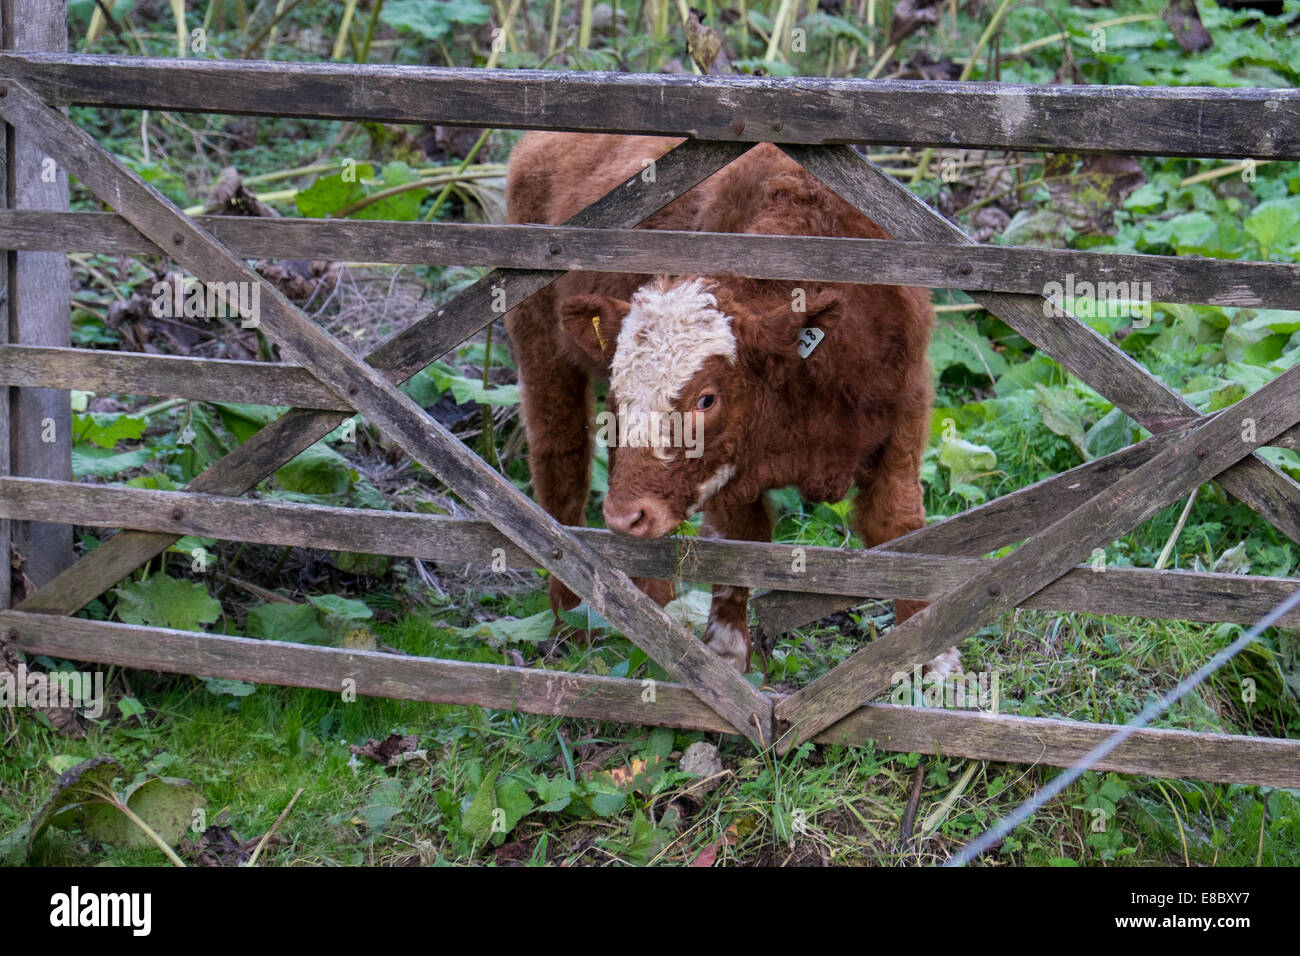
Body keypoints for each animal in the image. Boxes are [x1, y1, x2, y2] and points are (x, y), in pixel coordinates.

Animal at [504, 132, 959, 676]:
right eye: (618, 389)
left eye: (706, 398)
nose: (625, 516)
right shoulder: (726, 475)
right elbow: (742, 543)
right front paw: (724, 655)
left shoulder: (905, 415)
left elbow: (899, 528)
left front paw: (934, 659)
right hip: (539, 345)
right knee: (561, 464)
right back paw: (578, 620)